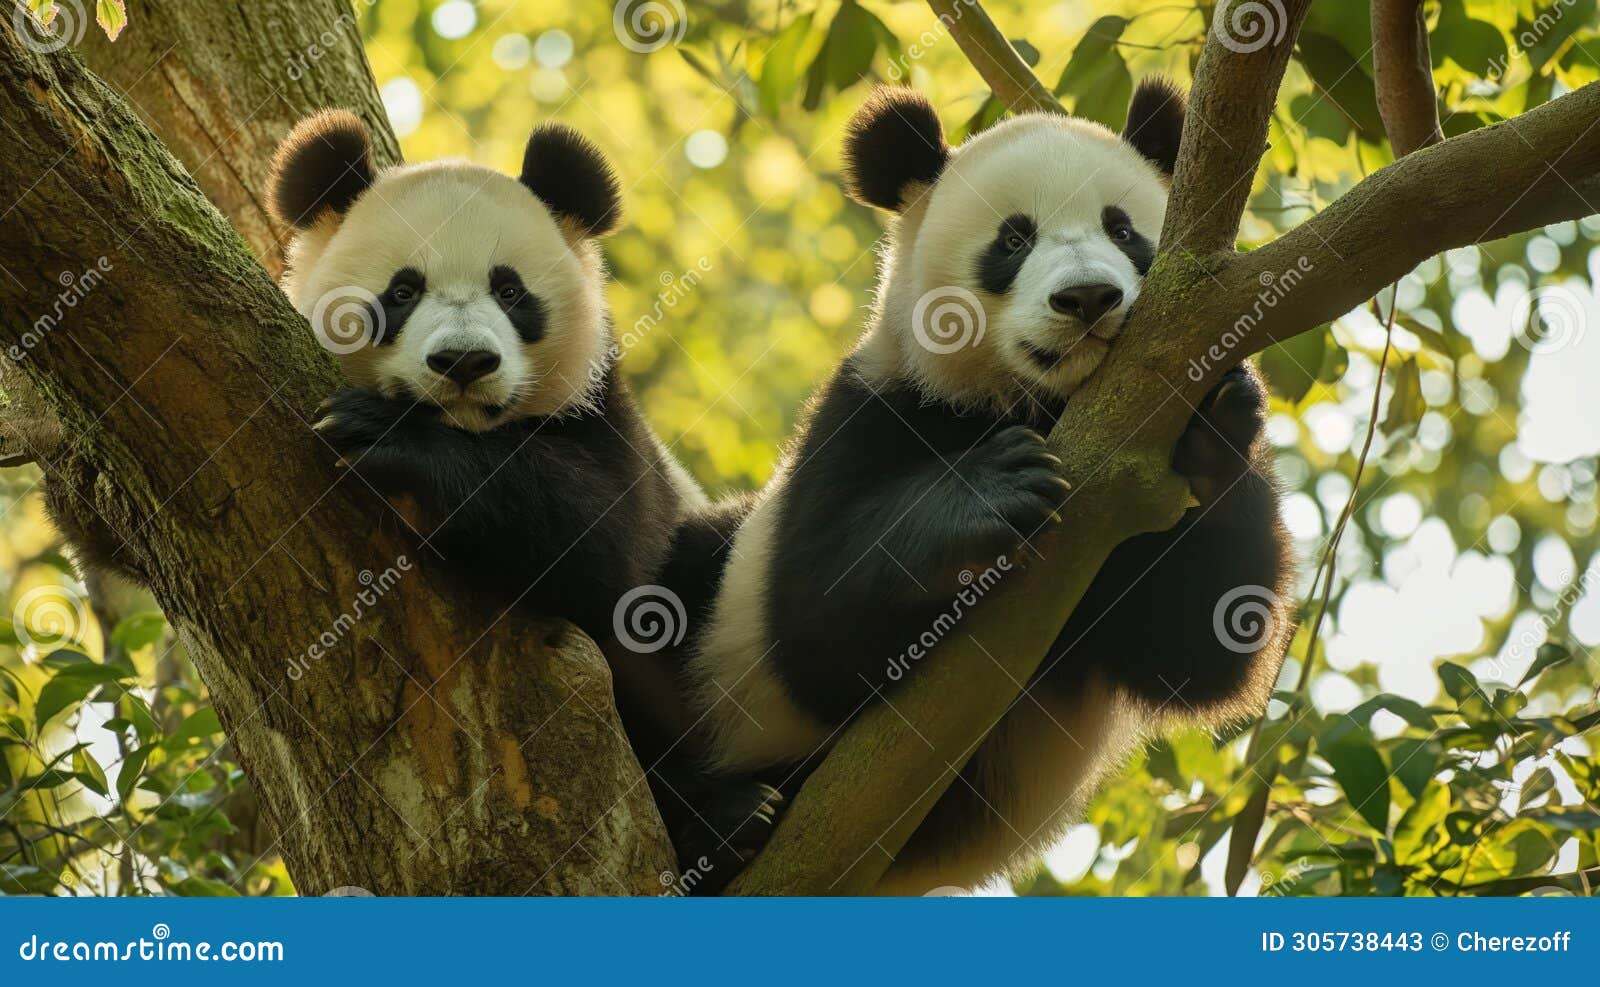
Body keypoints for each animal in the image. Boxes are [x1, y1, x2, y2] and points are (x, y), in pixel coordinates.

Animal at [267, 111, 769, 880]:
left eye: (510, 290)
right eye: (402, 291)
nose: (464, 361)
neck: (477, 430)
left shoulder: (605, 415)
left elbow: (606, 550)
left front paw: (390, 437)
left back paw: (731, 817)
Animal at [679, 80, 1294, 894]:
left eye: (1123, 228)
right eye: (1012, 240)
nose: (1088, 298)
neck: (1038, 403)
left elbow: (1198, 646)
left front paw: (1217, 420)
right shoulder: (869, 409)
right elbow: (813, 630)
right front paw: (990, 493)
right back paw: (723, 820)